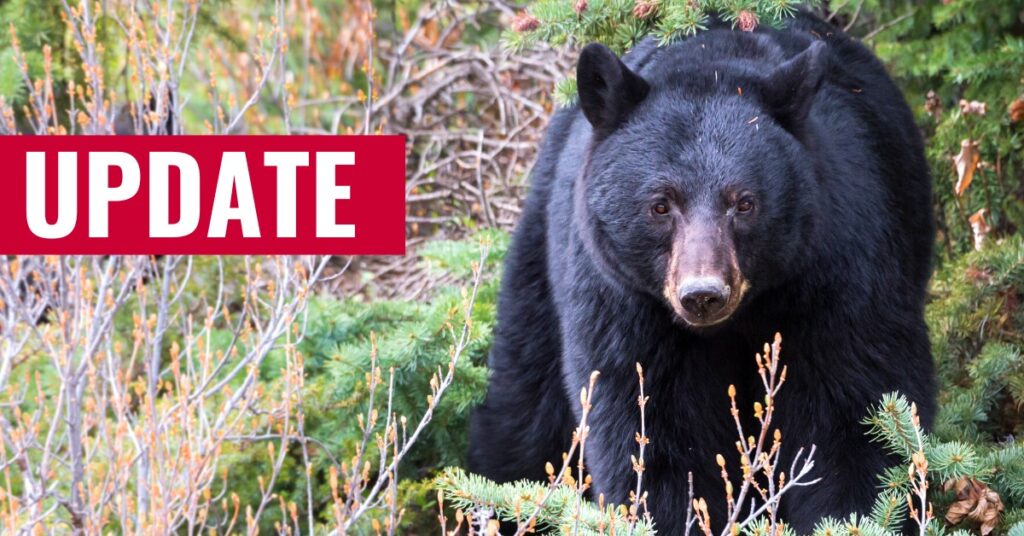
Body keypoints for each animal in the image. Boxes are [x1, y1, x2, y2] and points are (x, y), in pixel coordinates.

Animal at [468, 11, 935, 535]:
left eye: (744, 203)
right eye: (660, 204)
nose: (703, 293)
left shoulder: (840, 270)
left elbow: (855, 412)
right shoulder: (626, 305)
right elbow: (655, 435)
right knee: (524, 402)